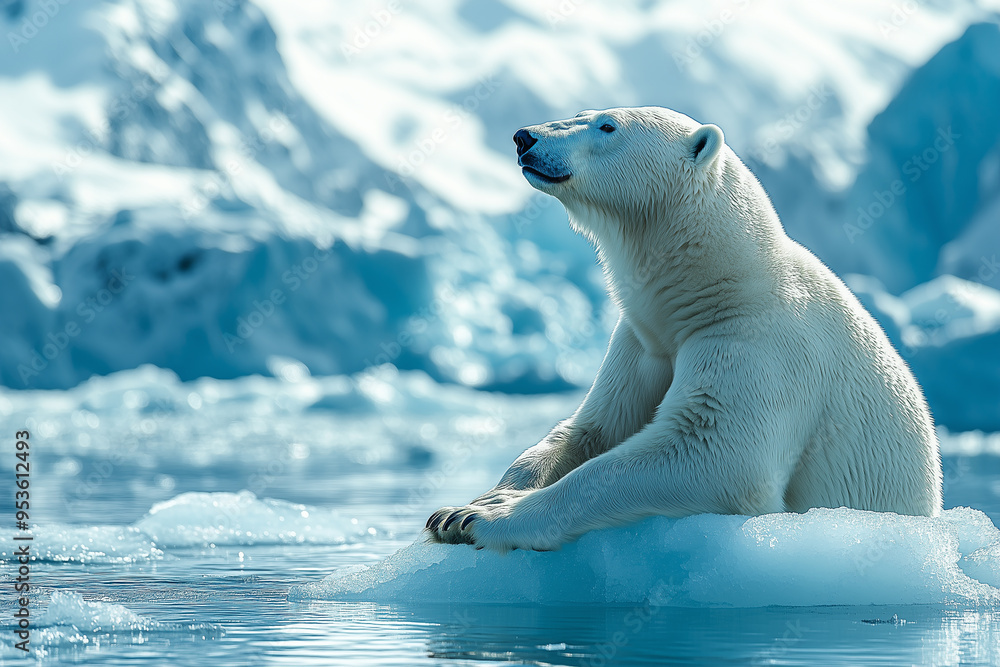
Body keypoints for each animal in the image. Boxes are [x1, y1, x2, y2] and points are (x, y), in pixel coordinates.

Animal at [426, 106, 942, 553]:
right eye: (580, 112)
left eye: (607, 126)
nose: (525, 138)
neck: (720, 284)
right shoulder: (642, 342)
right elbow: (591, 427)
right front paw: (458, 509)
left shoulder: (758, 346)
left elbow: (714, 453)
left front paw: (490, 516)